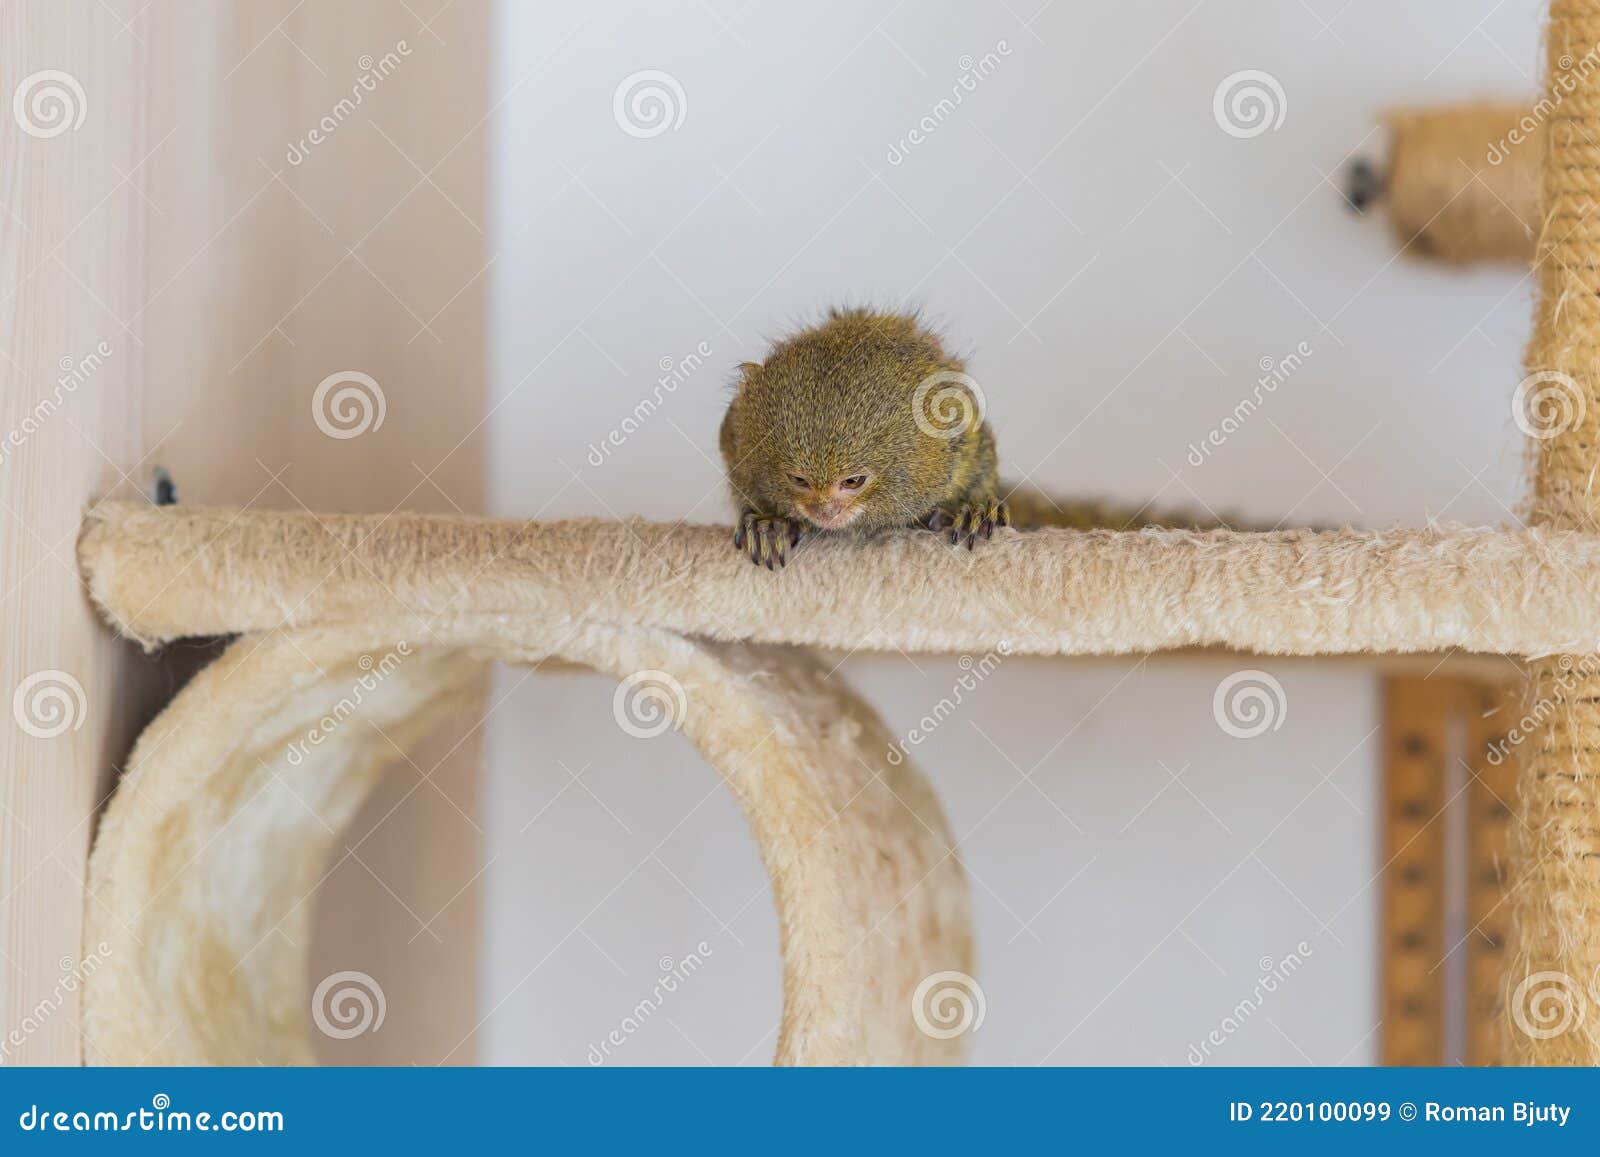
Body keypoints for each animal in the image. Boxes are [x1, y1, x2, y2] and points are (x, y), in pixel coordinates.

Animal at [719, 308, 1186, 568]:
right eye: (799, 481)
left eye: (853, 482)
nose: (824, 510)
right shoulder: (736, 437)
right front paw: (769, 523)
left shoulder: (964, 438)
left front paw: (972, 509)